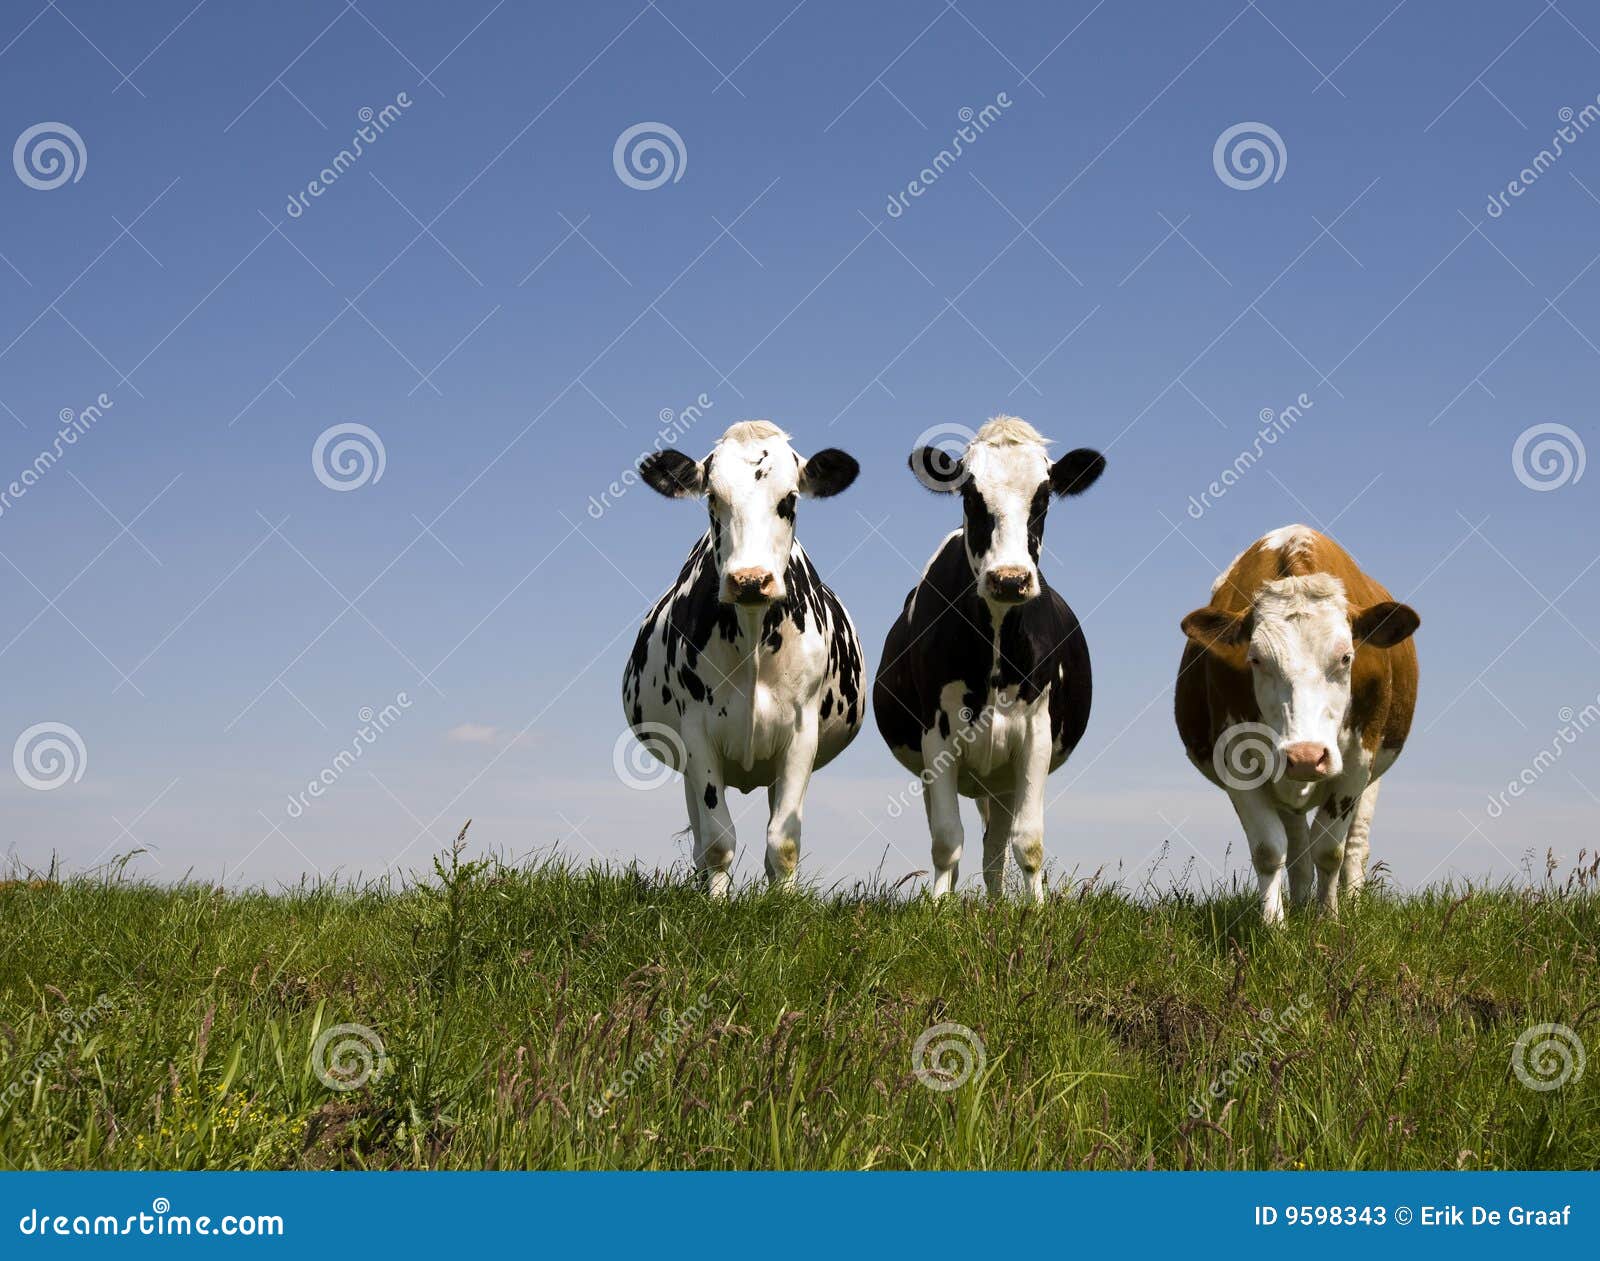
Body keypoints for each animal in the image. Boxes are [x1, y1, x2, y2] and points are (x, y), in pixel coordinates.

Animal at [622, 421, 865, 897]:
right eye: (712, 498)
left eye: (790, 499)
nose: (750, 580)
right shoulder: (696, 733)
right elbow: (717, 841)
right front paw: (716, 905)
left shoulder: (802, 732)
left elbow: (783, 841)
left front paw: (783, 906)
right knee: (700, 840)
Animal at [873, 416, 1105, 902]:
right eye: (969, 494)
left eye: (1044, 496)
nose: (1010, 579)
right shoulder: (936, 736)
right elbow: (946, 839)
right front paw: (938, 908)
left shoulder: (1036, 734)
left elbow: (1028, 841)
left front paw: (1036, 910)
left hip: (1002, 777)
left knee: (996, 845)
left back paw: (998, 904)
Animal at [1175, 524, 1420, 922]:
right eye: (1256, 659)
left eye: (1346, 657)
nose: (1306, 755)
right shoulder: (1236, 763)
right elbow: (1269, 849)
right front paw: (1274, 925)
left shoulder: (1357, 762)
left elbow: (1330, 850)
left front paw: (1329, 919)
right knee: (1296, 844)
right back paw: (1302, 901)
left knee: (1355, 845)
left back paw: (1350, 903)